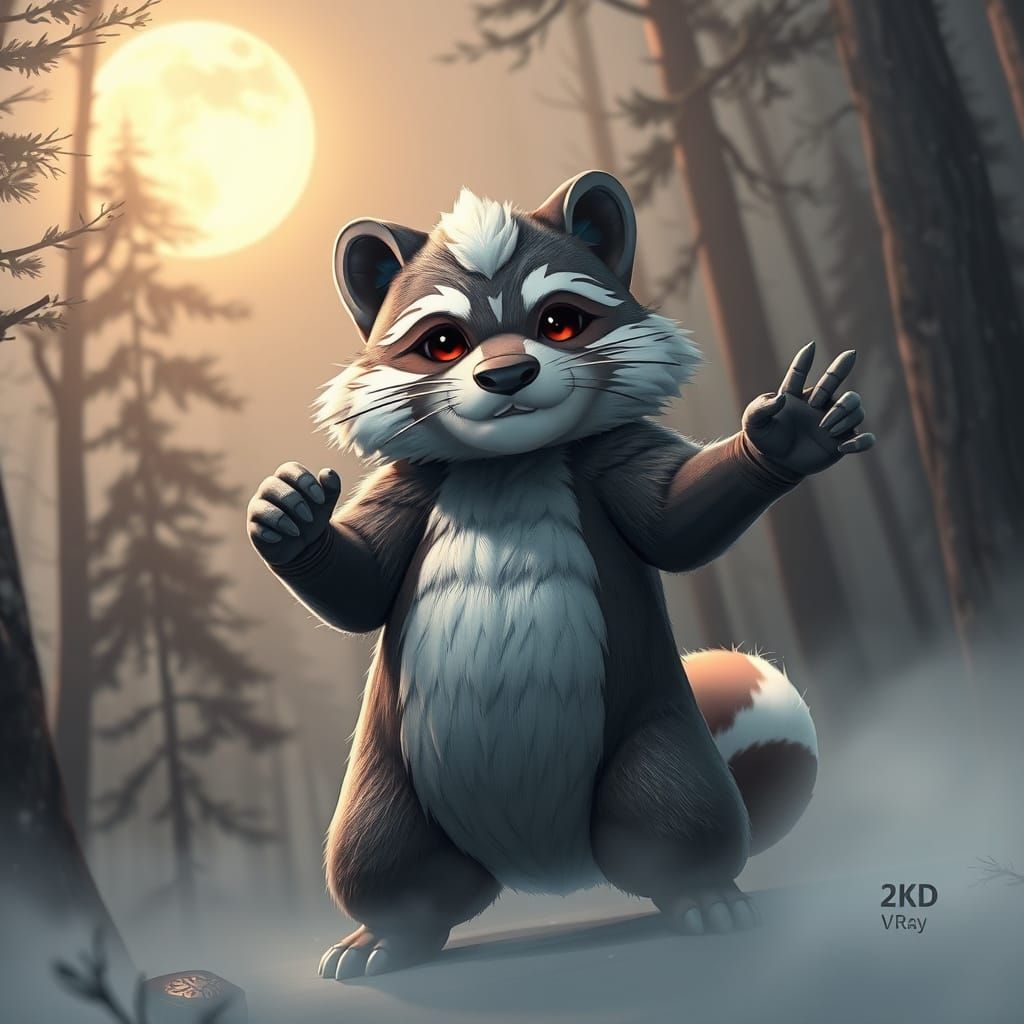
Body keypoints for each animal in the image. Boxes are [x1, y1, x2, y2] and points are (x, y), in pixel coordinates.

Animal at [246, 171, 874, 979]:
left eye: (561, 323)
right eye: (442, 342)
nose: (507, 374)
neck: (511, 465)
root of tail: (547, 872)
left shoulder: (616, 458)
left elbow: (675, 527)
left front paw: (785, 433)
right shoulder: (409, 486)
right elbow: (362, 588)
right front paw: (292, 516)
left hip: (659, 758)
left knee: (677, 824)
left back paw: (704, 898)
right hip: (385, 796)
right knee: (389, 868)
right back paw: (386, 938)